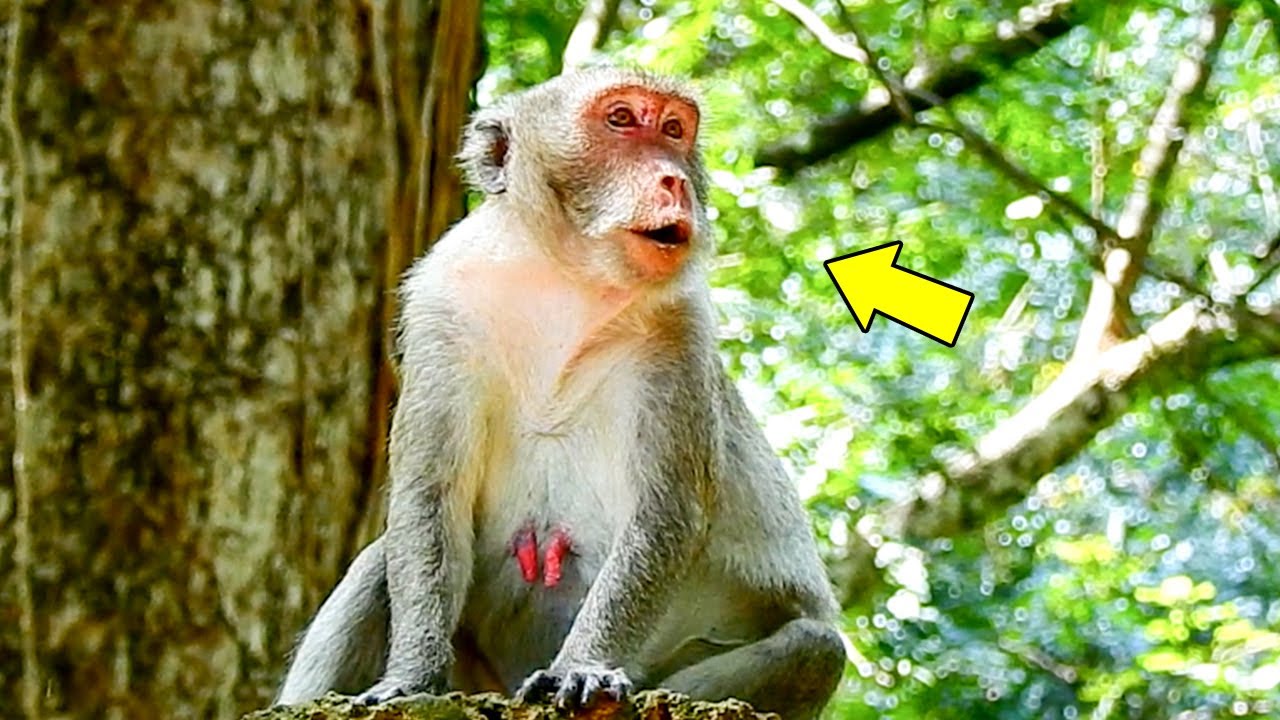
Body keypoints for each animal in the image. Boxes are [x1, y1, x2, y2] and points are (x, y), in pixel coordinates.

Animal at [276, 67, 846, 720]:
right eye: (621, 119)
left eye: (674, 130)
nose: (673, 179)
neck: (568, 279)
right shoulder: (441, 308)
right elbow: (429, 496)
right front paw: (410, 678)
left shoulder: (680, 334)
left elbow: (664, 512)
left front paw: (583, 667)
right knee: (380, 559)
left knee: (815, 647)